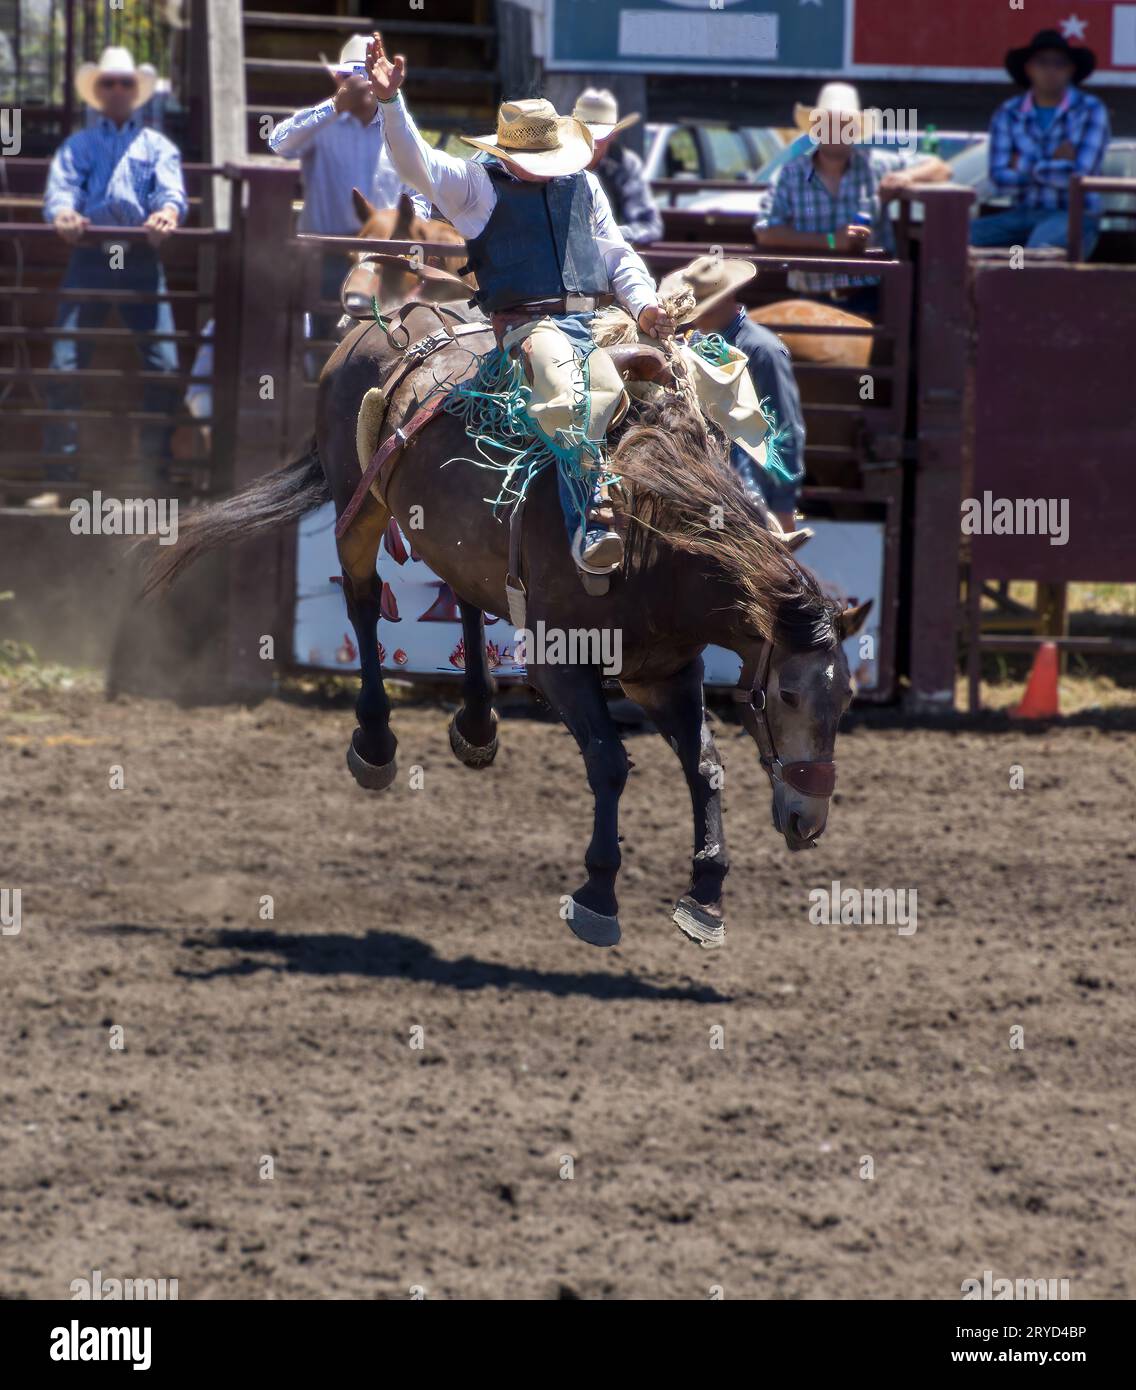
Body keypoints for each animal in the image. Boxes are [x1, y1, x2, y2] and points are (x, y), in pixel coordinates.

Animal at [146, 302, 869, 950]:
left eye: (845, 699)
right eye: (788, 694)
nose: (807, 820)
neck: (653, 533)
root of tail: (381, 321)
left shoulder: (662, 673)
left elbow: (706, 767)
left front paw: (706, 897)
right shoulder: (561, 663)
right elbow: (610, 763)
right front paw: (598, 895)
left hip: (454, 540)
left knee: (466, 600)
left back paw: (476, 723)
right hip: (360, 508)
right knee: (362, 601)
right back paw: (376, 741)